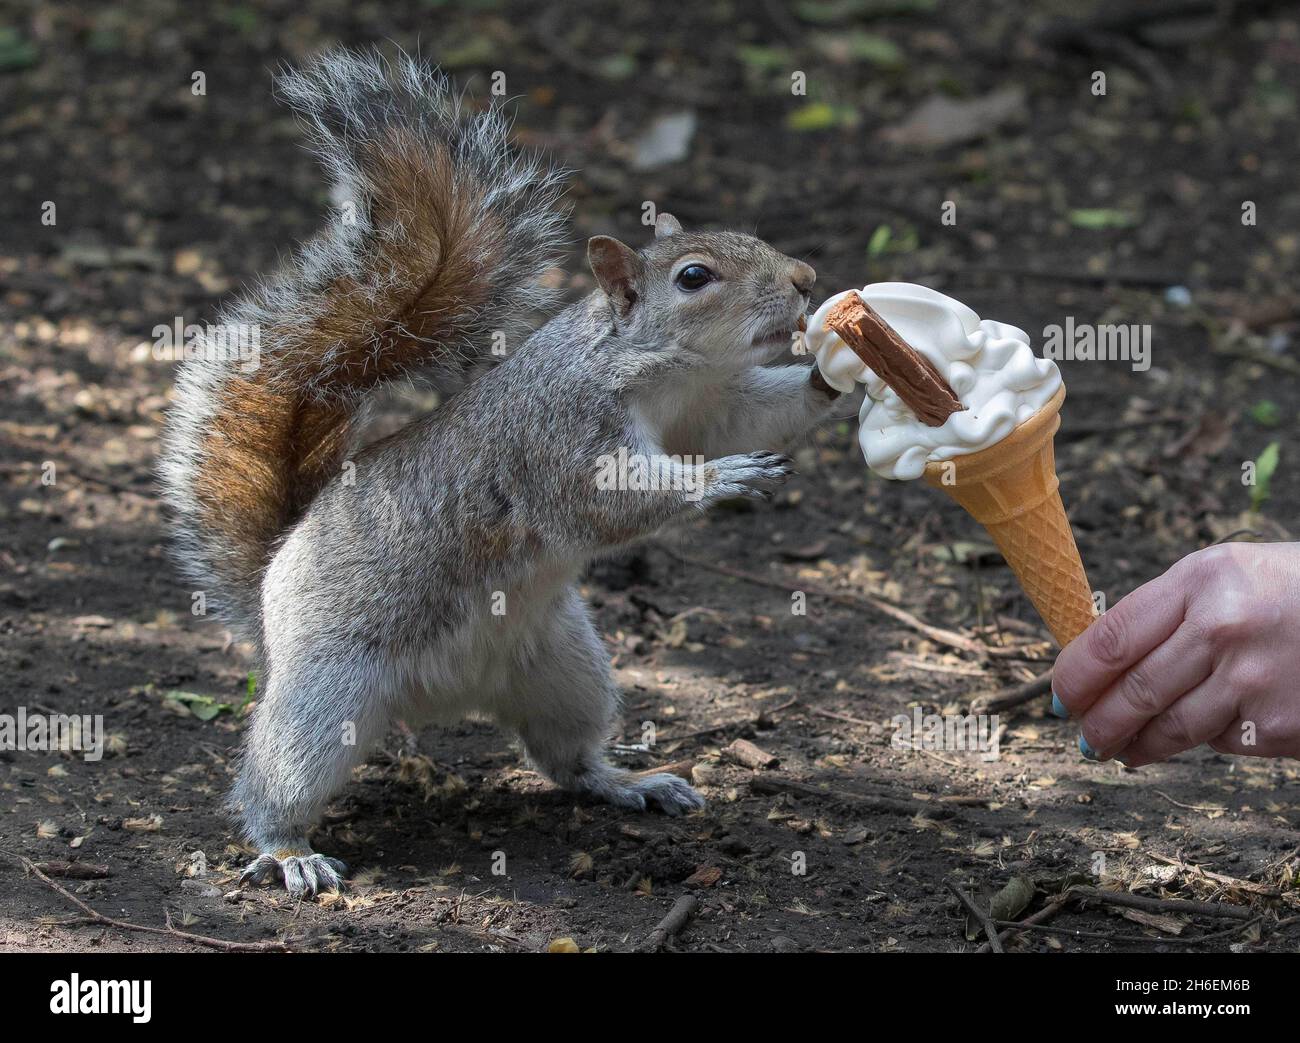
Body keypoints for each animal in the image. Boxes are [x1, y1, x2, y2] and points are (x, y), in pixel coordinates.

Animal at [159, 48, 840, 897]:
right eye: (694, 277)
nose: (806, 276)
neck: (661, 374)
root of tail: (268, 583)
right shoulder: (557, 436)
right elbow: (604, 502)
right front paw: (721, 478)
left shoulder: (713, 405)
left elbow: (758, 413)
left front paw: (839, 372)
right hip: (327, 691)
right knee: (275, 780)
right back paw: (289, 850)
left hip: (564, 666)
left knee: (565, 755)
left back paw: (628, 782)